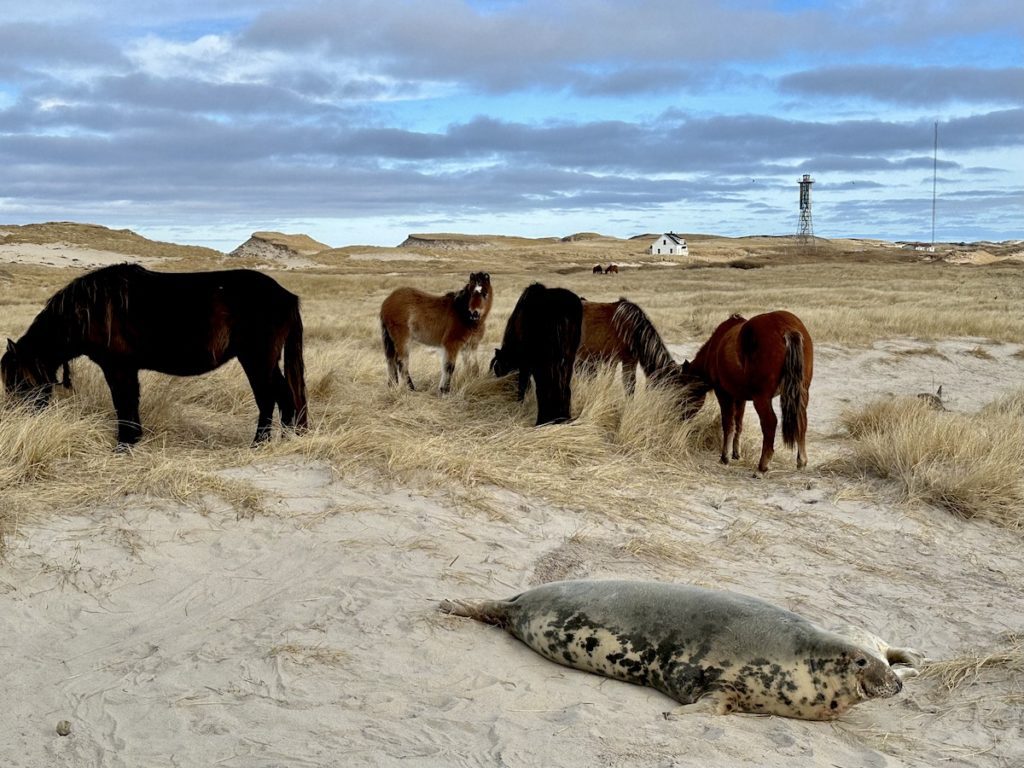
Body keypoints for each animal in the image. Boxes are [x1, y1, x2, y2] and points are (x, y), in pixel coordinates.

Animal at [2, 263, 308, 449]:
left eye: (18, 380)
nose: (16, 418)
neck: (90, 311)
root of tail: (287, 296)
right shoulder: (126, 369)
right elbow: (129, 402)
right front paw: (133, 438)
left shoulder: (117, 368)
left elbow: (123, 402)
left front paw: (124, 443)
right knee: (285, 396)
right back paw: (289, 438)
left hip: (257, 360)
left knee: (269, 397)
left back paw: (260, 443)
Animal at [490, 283, 582, 425]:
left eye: (497, 368)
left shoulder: (525, 364)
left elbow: (523, 385)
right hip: (568, 358)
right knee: (564, 385)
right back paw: (562, 417)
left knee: (543, 387)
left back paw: (544, 420)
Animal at [679, 310, 813, 473]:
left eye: (684, 392)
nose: (680, 417)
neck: (714, 348)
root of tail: (787, 329)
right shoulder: (740, 397)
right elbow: (739, 423)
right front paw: (736, 453)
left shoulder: (724, 394)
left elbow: (728, 424)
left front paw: (725, 457)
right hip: (802, 392)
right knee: (802, 421)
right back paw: (801, 461)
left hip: (761, 398)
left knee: (770, 423)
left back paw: (762, 467)